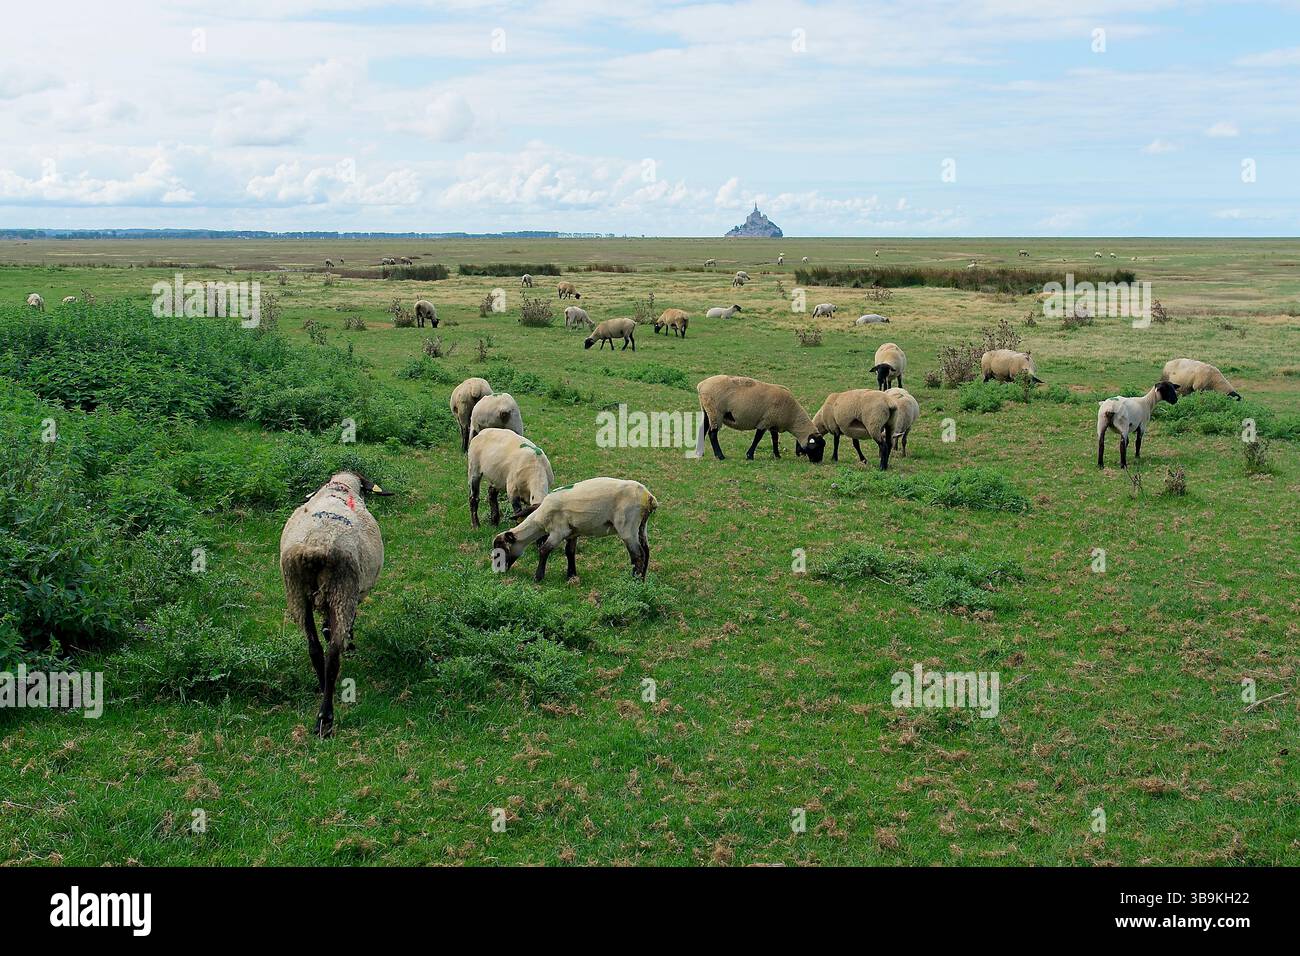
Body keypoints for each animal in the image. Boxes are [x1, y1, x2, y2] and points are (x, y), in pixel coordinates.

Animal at [280, 471, 392, 737]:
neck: (341, 488)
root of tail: (317, 544)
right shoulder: (355, 594)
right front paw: (350, 643)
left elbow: (325, 629)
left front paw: (326, 630)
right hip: (343, 589)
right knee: (332, 655)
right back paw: (325, 718)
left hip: (297, 591)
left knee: (313, 647)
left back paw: (321, 685)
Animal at [491, 477, 657, 582]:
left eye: (499, 553)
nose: (499, 572)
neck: (539, 519)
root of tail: (648, 497)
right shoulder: (572, 533)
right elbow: (569, 552)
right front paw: (571, 576)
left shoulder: (558, 531)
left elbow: (544, 550)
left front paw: (538, 577)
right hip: (641, 525)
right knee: (646, 551)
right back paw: (643, 580)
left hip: (627, 526)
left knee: (637, 555)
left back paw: (634, 581)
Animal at [693, 374, 826, 462]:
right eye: (817, 447)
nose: (818, 462)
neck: (792, 417)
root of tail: (701, 385)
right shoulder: (765, 421)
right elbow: (757, 438)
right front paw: (750, 455)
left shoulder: (773, 423)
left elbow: (775, 439)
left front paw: (777, 455)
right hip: (716, 412)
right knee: (712, 434)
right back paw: (720, 456)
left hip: (707, 410)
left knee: (702, 430)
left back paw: (699, 453)